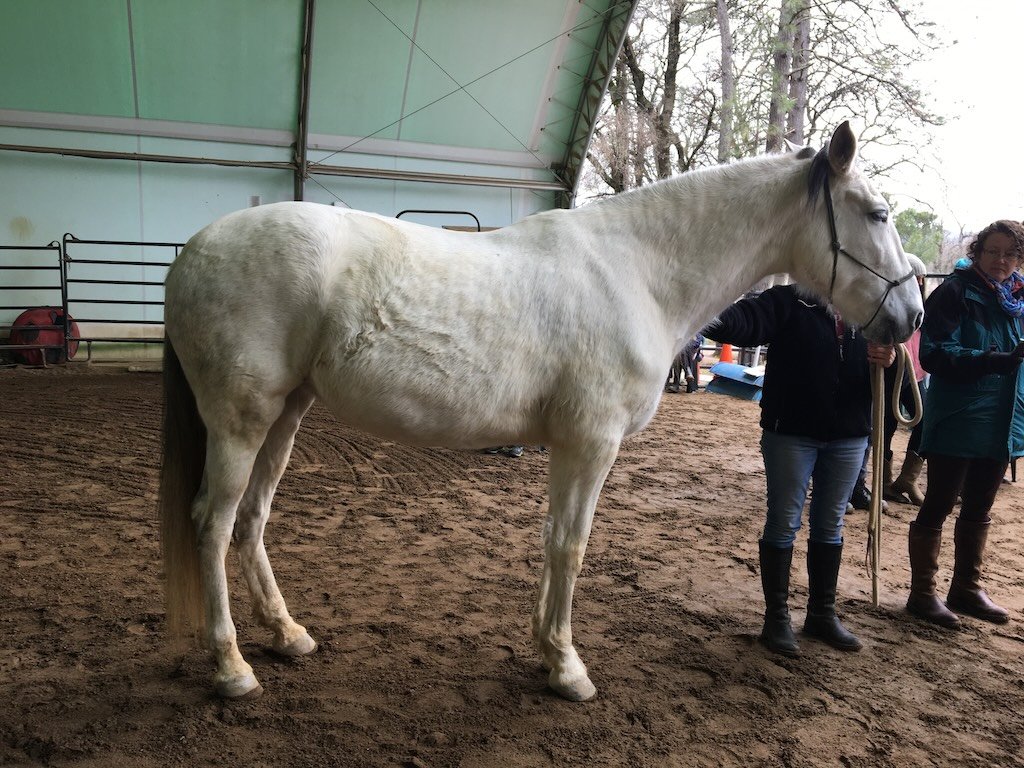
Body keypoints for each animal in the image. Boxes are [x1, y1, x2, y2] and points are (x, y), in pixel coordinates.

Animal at [159, 121, 923, 702]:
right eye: (879, 214)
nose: (910, 317)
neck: (638, 271)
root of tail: (193, 249)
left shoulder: (569, 445)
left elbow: (554, 539)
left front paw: (546, 650)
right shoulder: (590, 443)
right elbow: (571, 545)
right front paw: (567, 668)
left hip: (286, 416)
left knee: (252, 520)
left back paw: (287, 636)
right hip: (241, 419)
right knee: (213, 523)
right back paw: (232, 668)